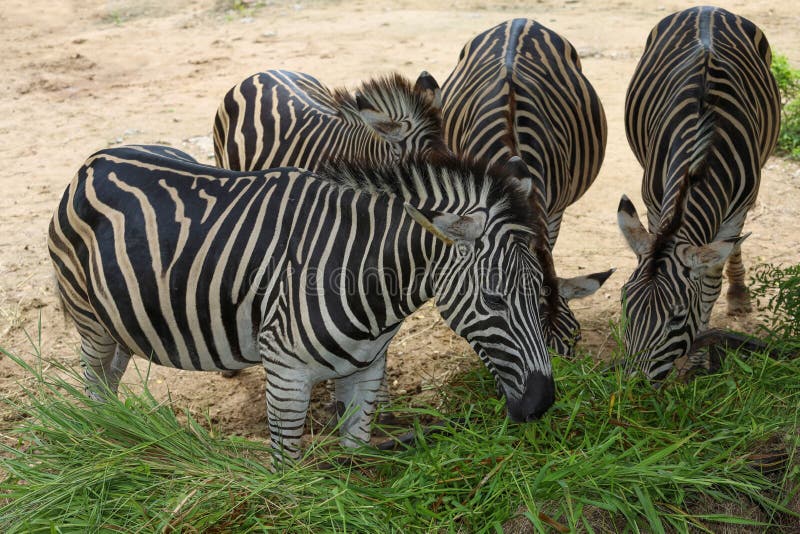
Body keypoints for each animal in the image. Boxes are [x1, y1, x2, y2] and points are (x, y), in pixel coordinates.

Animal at [48, 144, 556, 460]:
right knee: (94, 378)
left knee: (112, 376)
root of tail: (95, 160)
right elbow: (286, 470)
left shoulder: (367, 369)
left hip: (122, 319)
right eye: (494, 299)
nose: (543, 404)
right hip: (90, 320)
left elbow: (357, 457)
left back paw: (123, 432)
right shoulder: (286, 375)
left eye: (540, 294)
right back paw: (106, 443)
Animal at [617, 6, 781, 380]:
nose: (633, 386)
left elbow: (708, 284)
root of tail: (708, 9)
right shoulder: (654, 205)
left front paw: (697, 360)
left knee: (731, 251)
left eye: (677, 318)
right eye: (625, 303)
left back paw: (739, 295)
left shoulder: (735, 212)